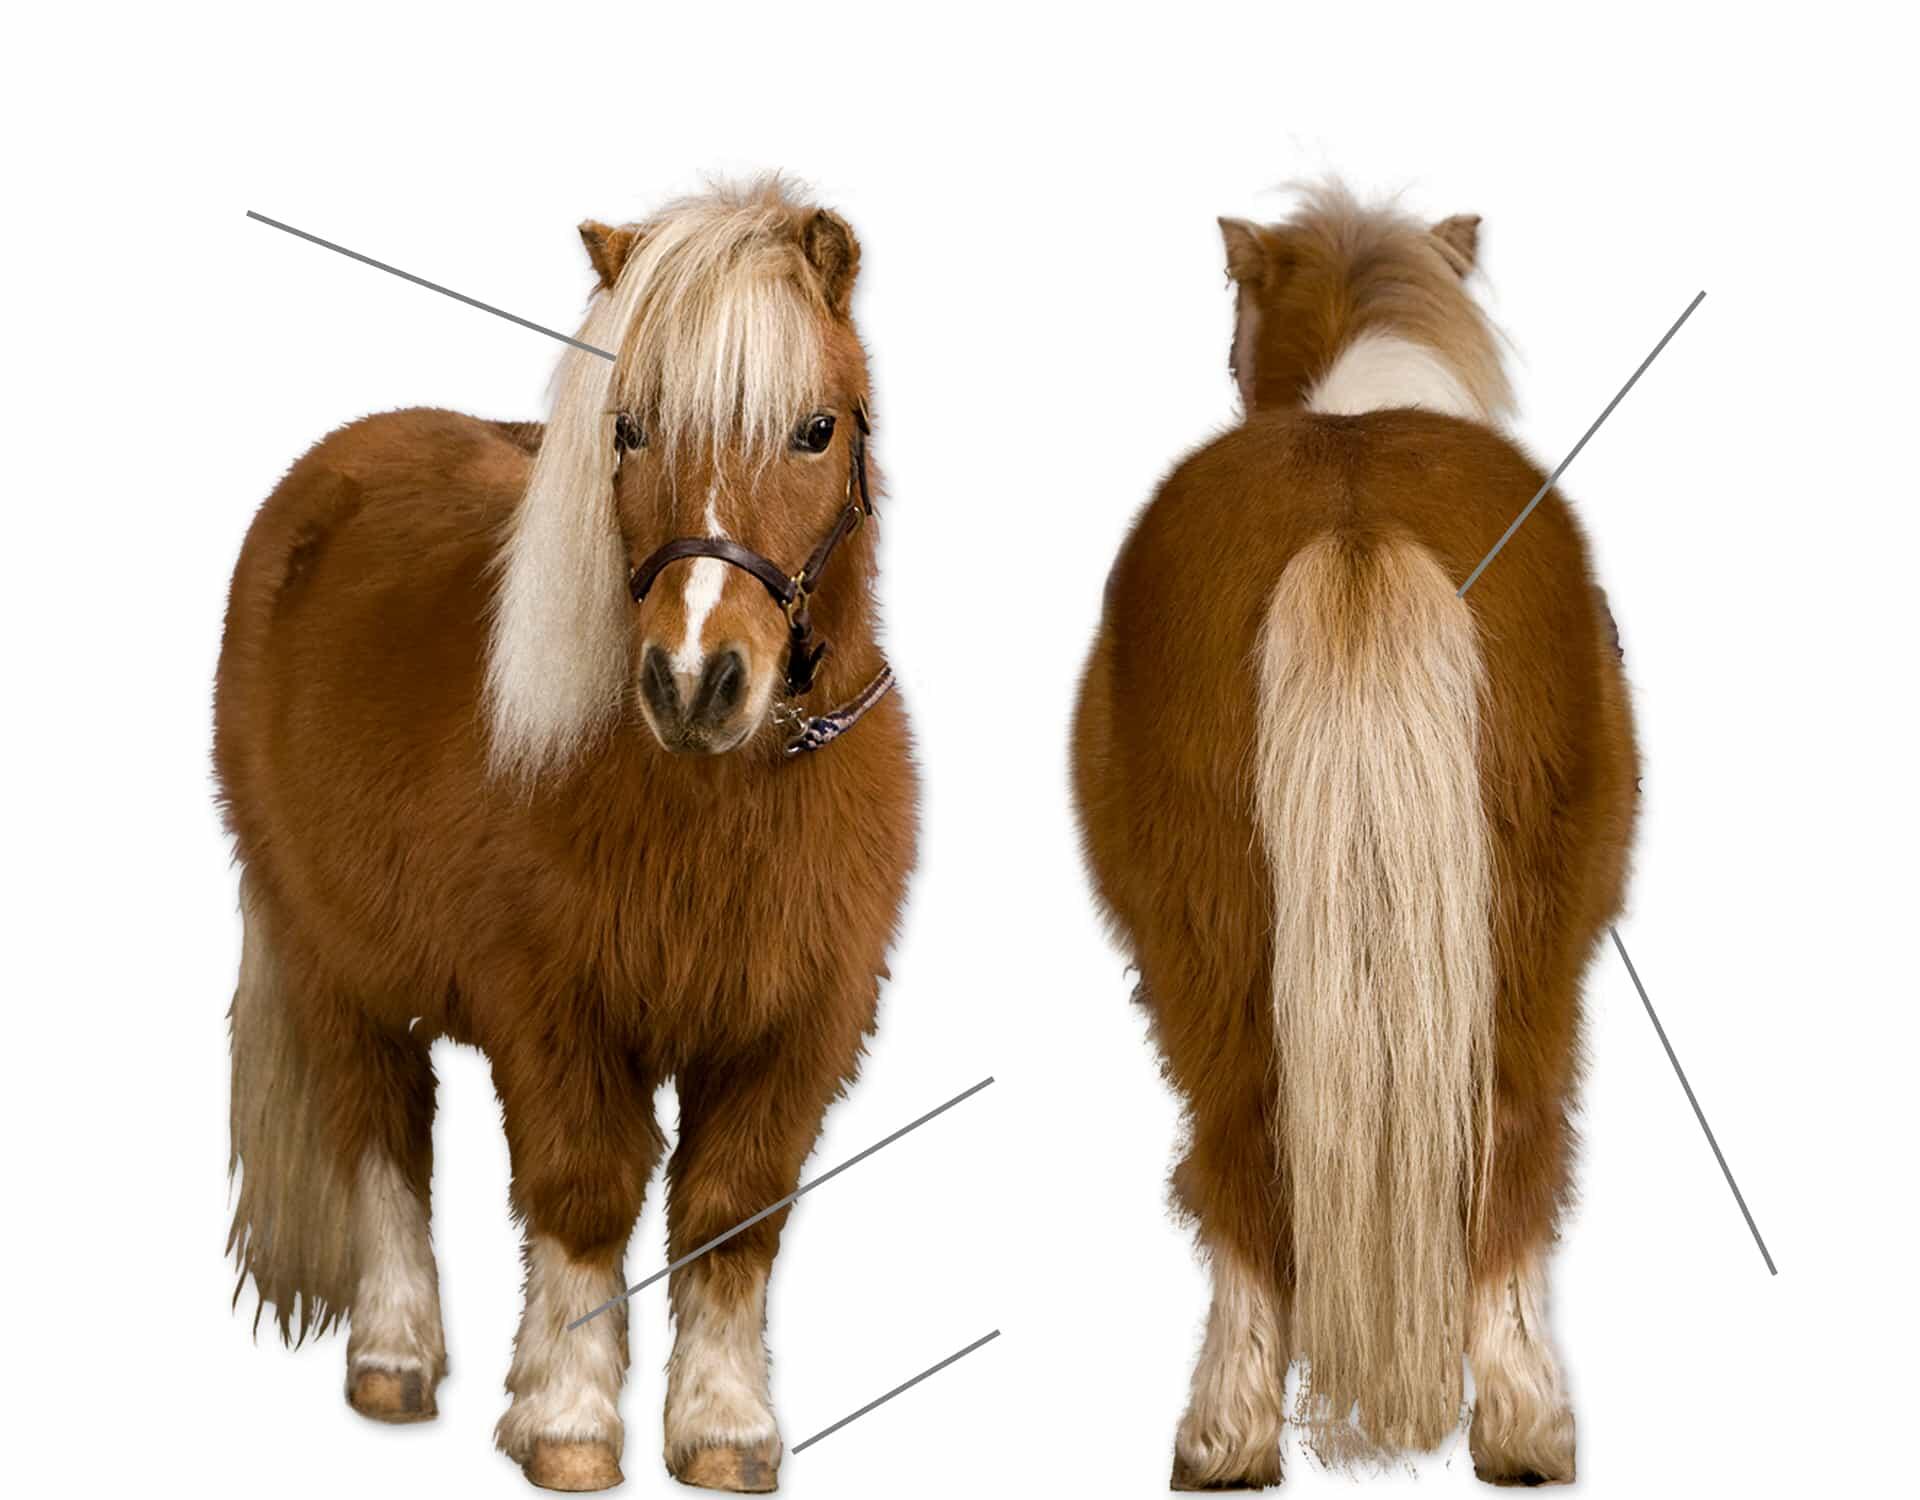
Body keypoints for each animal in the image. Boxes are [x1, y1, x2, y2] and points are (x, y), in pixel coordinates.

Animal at [214, 178, 918, 1493]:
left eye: (816, 430)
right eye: (629, 427)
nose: (694, 681)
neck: (710, 797)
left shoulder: (796, 1025)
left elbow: (734, 1213)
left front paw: (724, 1427)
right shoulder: (557, 1014)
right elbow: (584, 1192)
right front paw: (570, 1420)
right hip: (327, 957)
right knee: (380, 1135)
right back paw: (394, 1358)